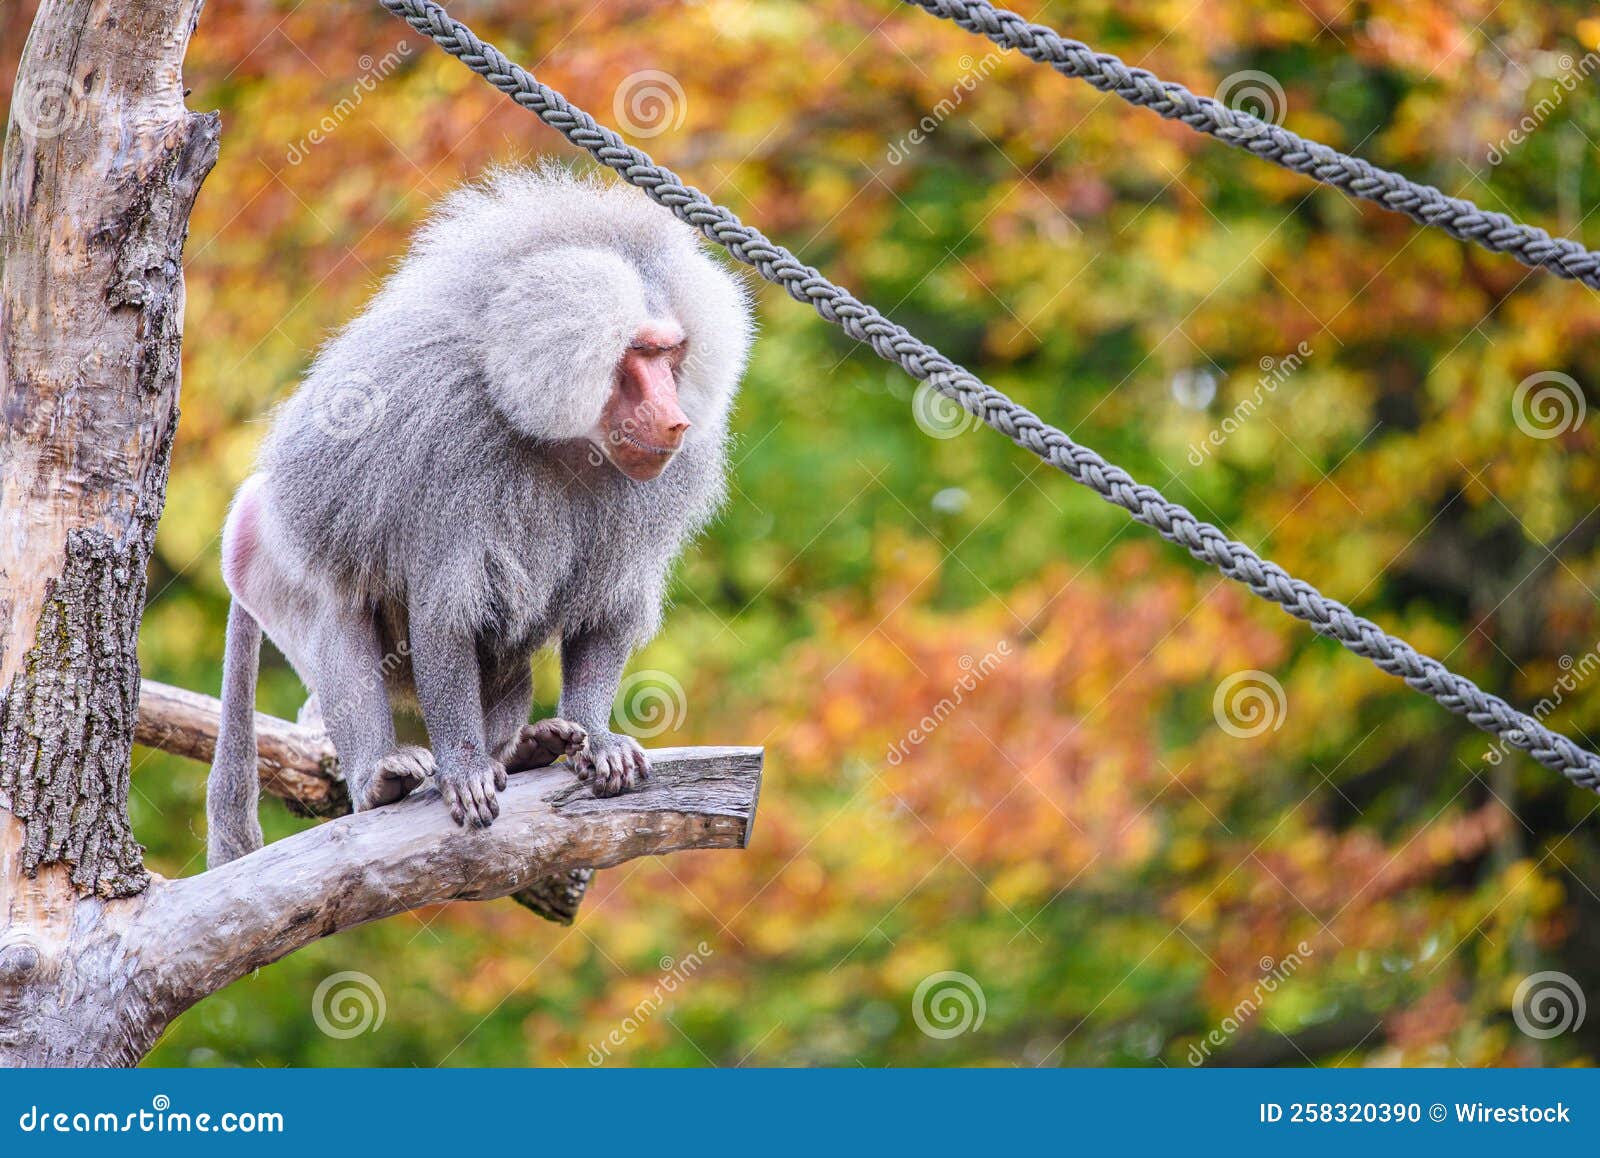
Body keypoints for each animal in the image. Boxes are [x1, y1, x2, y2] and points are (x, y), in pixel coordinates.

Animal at [204, 164, 754, 867]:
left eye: (673, 352)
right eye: (641, 352)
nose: (678, 420)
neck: (555, 426)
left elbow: (604, 608)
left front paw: (596, 736)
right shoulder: (452, 446)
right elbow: (445, 612)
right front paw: (464, 767)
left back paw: (522, 750)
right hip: (267, 559)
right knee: (338, 610)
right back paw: (380, 779)